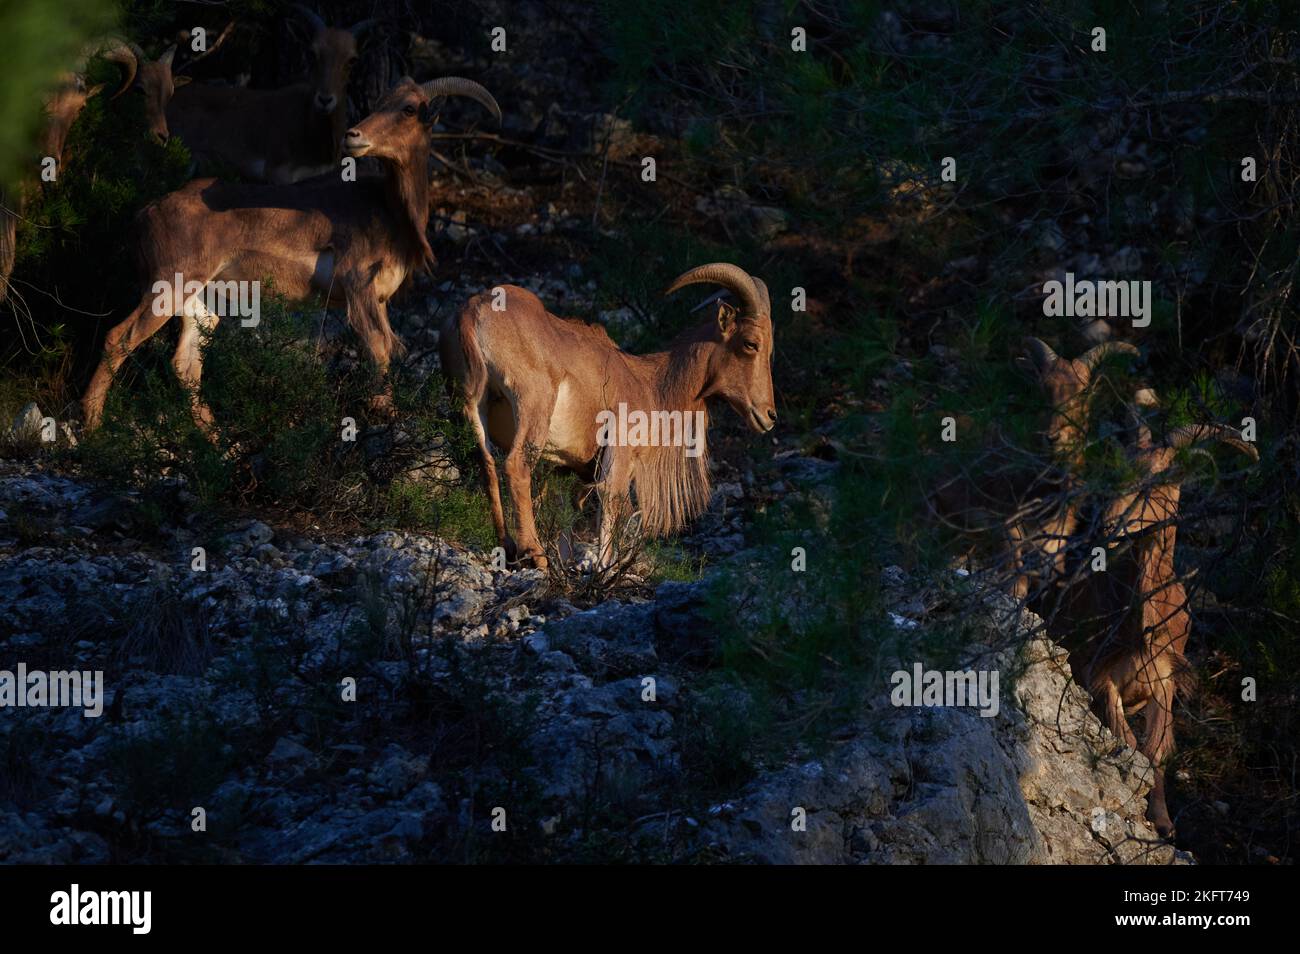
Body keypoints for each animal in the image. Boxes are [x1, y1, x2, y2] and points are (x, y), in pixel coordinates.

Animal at [80, 75, 501, 433]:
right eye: (381, 103)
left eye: (409, 108)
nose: (354, 136)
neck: (390, 211)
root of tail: (144, 215)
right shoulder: (357, 287)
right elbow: (379, 349)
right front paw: (387, 416)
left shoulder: (377, 298)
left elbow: (388, 348)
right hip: (167, 285)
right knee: (120, 337)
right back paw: (91, 427)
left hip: (201, 301)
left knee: (185, 363)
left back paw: (220, 446)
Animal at [441, 263, 777, 569]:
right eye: (751, 343)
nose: (769, 415)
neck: (650, 384)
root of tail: (473, 314)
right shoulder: (619, 454)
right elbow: (608, 509)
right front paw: (604, 569)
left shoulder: (565, 468)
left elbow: (566, 516)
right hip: (532, 404)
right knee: (515, 466)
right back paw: (533, 553)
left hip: (470, 403)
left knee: (485, 466)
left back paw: (506, 546)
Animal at [1046, 417, 1257, 837]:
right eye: (1117, 474)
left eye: (1155, 480)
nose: (1109, 524)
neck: (1142, 629)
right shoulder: (1101, 677)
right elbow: (1127, 740)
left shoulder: (1164, 681)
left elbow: (1155, 750)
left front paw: (1162, 821)